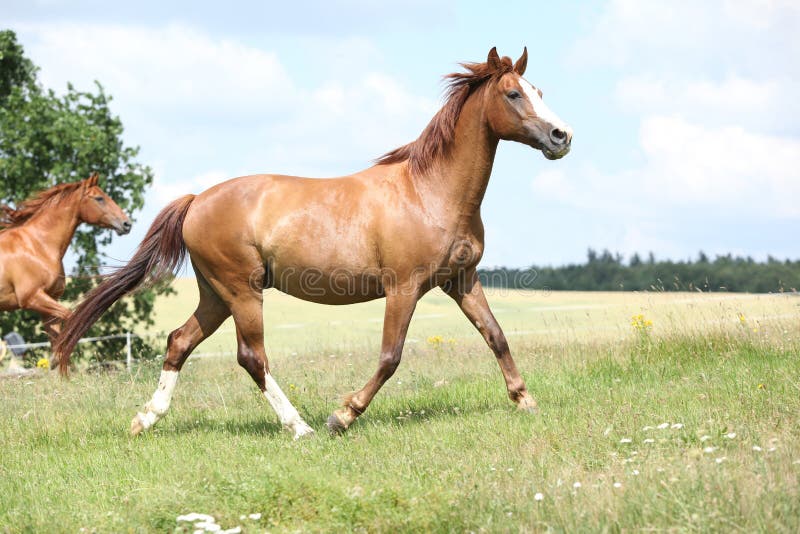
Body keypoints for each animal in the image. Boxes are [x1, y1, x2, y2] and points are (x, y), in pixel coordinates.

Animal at [0, 174, 131, 352]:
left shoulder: (49, 304)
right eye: (99, 198)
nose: (127, 224)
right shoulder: (32, 297)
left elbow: (57, 345)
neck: (38, 245)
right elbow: (71, 319)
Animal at [55, 47, 573, 439]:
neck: (430, 192)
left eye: (539, 92)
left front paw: (525, 400)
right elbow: (390, 357)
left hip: (215, 295)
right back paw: (299, 426)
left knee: (179, 341)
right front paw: (342, 416)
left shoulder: (461, 280)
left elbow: (496, 336)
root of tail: (197, 199)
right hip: (242, 292)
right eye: (512, 93)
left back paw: (145, 419)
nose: (561, 136)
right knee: (252, 356)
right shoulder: (404, 288)